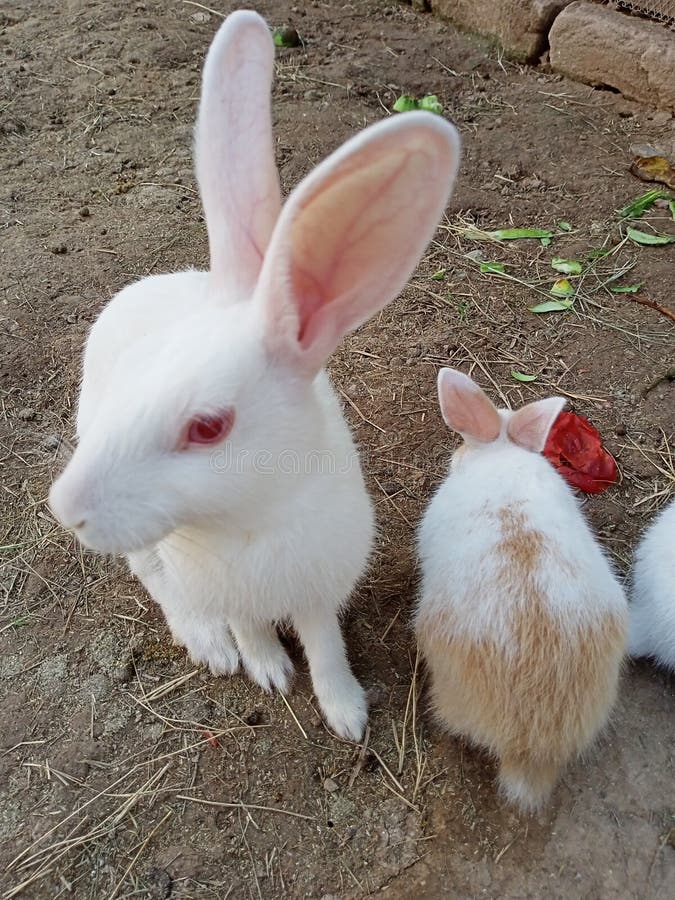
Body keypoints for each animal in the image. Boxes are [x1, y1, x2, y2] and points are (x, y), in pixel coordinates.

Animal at [48, 10, 461, 741]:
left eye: (209, 427)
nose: (65, 511)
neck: (251, 520)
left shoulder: (319, 590)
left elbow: (325, 644)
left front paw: (346, 712)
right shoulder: (227, 591)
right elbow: (249, 629)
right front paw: (266, 670)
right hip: (153, 553)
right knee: (157, 582)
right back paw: (208, 644)